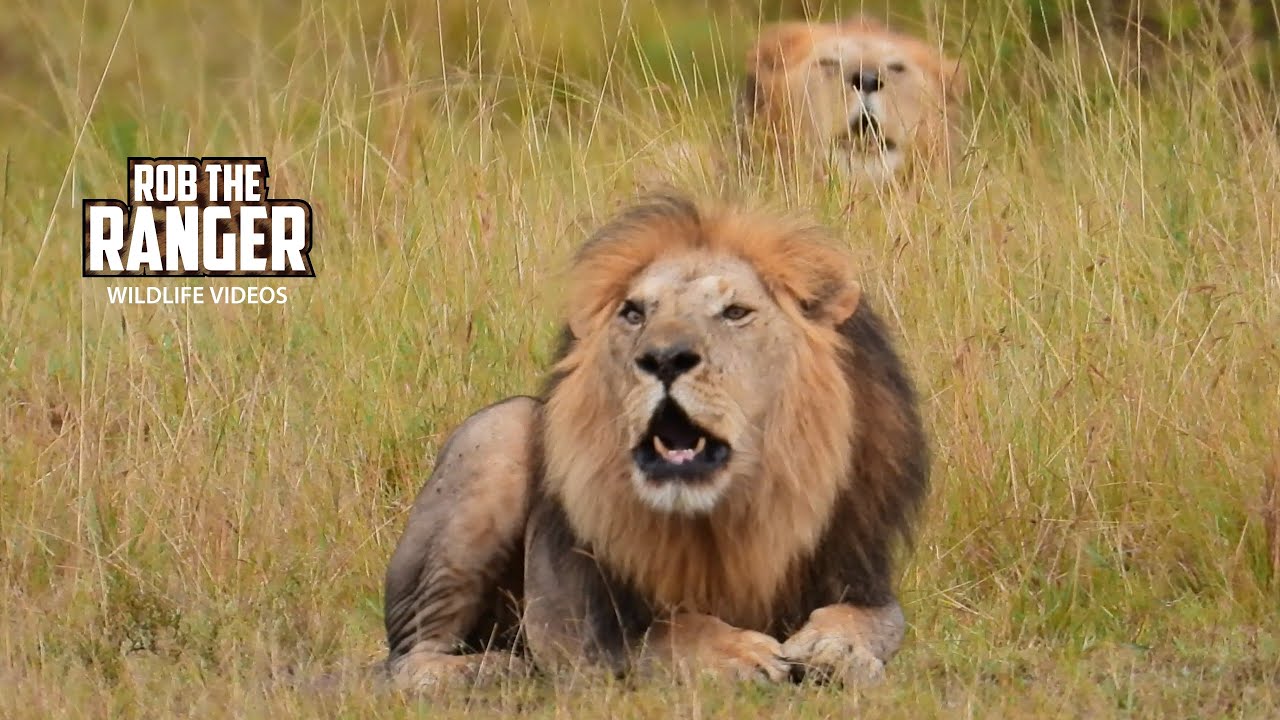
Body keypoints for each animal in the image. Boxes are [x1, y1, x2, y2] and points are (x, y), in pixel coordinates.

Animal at [382, 194, 930, 689]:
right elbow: (673, 631)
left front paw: (835, 649)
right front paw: (740, 654)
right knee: (404, 661)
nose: (664, 358)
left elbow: (877, 620)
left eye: (735, 311)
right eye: (633, 312)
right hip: (500, 433)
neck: (731, 513)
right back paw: (489, 669)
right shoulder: (596, 627)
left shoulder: (859, 571)